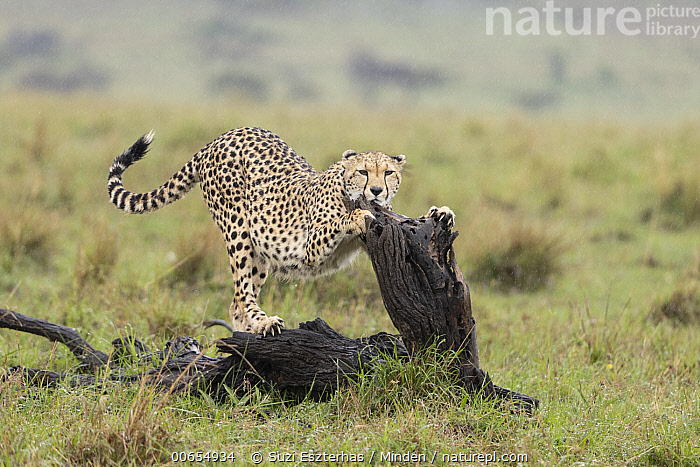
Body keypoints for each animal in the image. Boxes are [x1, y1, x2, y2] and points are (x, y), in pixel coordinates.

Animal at [108, 126, 454, 336]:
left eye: (389, 172)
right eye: (363, 172)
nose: (378, 191)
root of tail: (222, 136)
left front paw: (440, 213)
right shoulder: (312, 246)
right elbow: (339, 222)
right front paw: (356, 214)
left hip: (258, 252)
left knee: (235, 302)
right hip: (239, 231)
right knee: (242, 294)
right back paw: (264, 323)